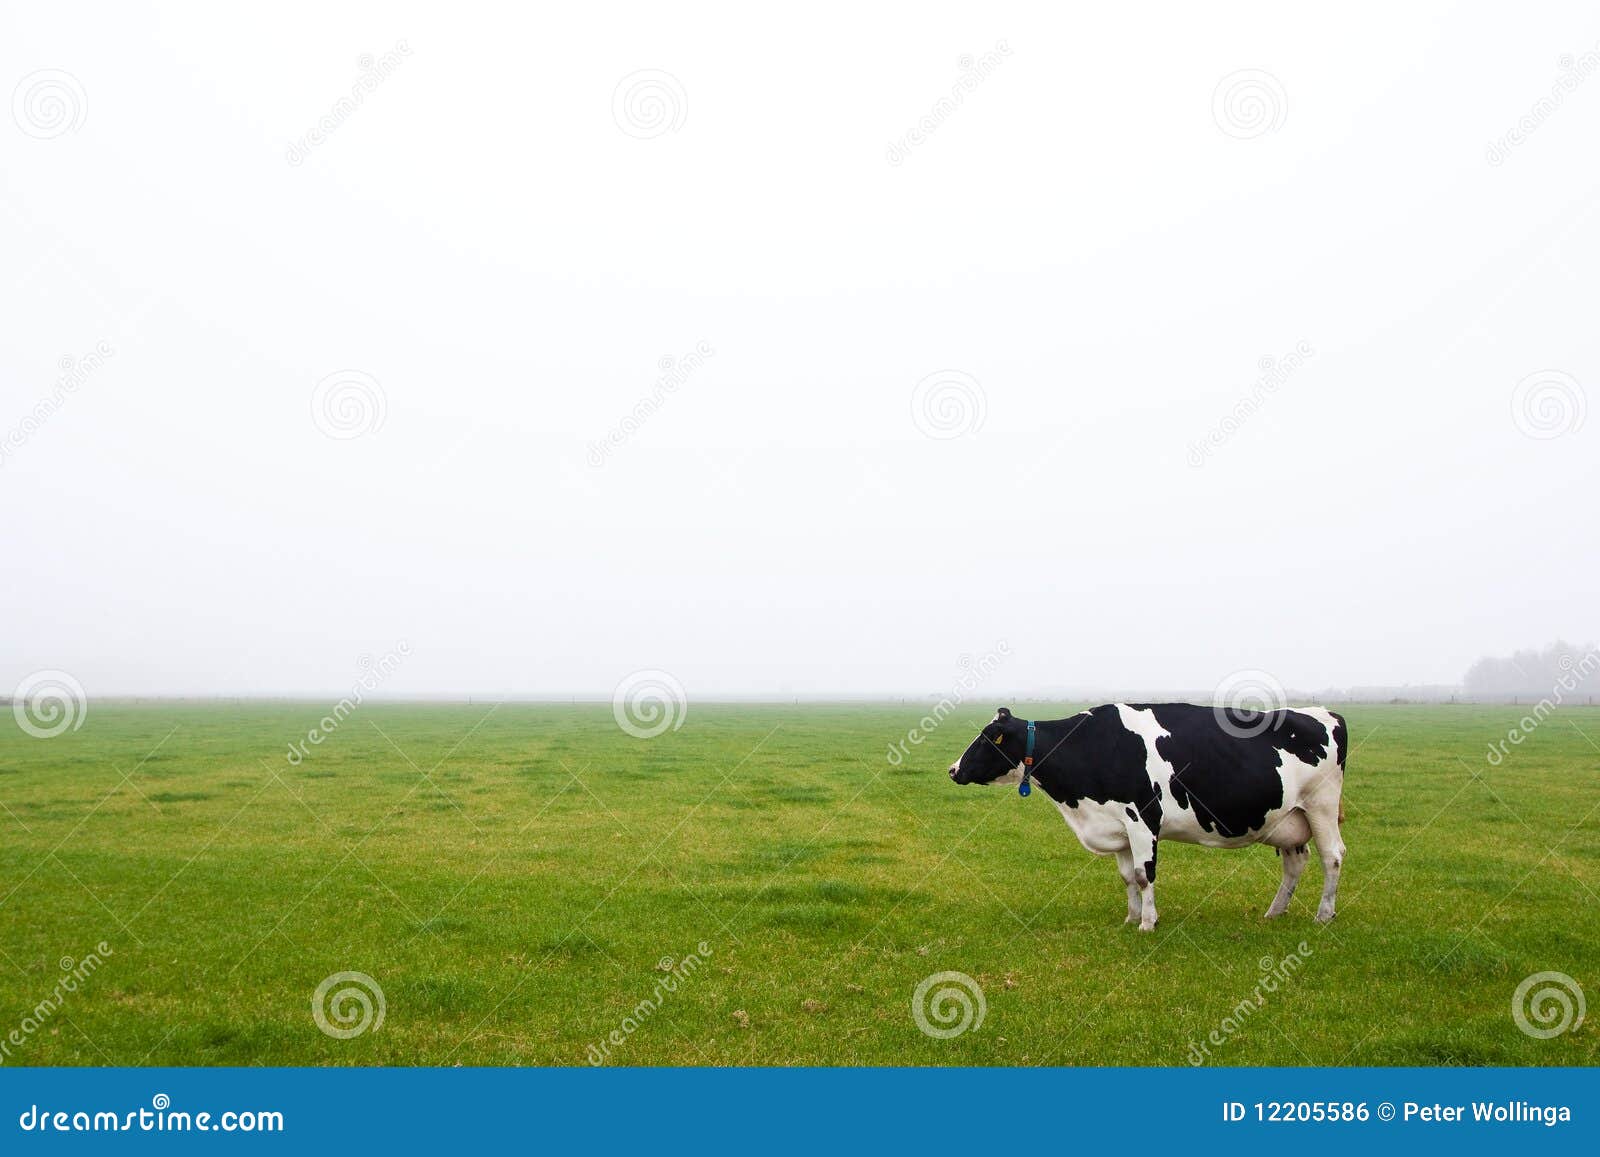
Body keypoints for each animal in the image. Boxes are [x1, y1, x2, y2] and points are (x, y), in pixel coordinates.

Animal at [947, 703, 1347, 930]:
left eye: (987, 738)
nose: (952, 770)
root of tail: (1325, 712)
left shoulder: (1141, 819)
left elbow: (1144, 874)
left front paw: (1148, 924)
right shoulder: (1118, 825)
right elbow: (1127, 877)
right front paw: (1131, 917)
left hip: (1321, 806)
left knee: (1332, 857)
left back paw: (1324, 915)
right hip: (1288, 819)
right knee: (1296, 862)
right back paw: (1275, 912)